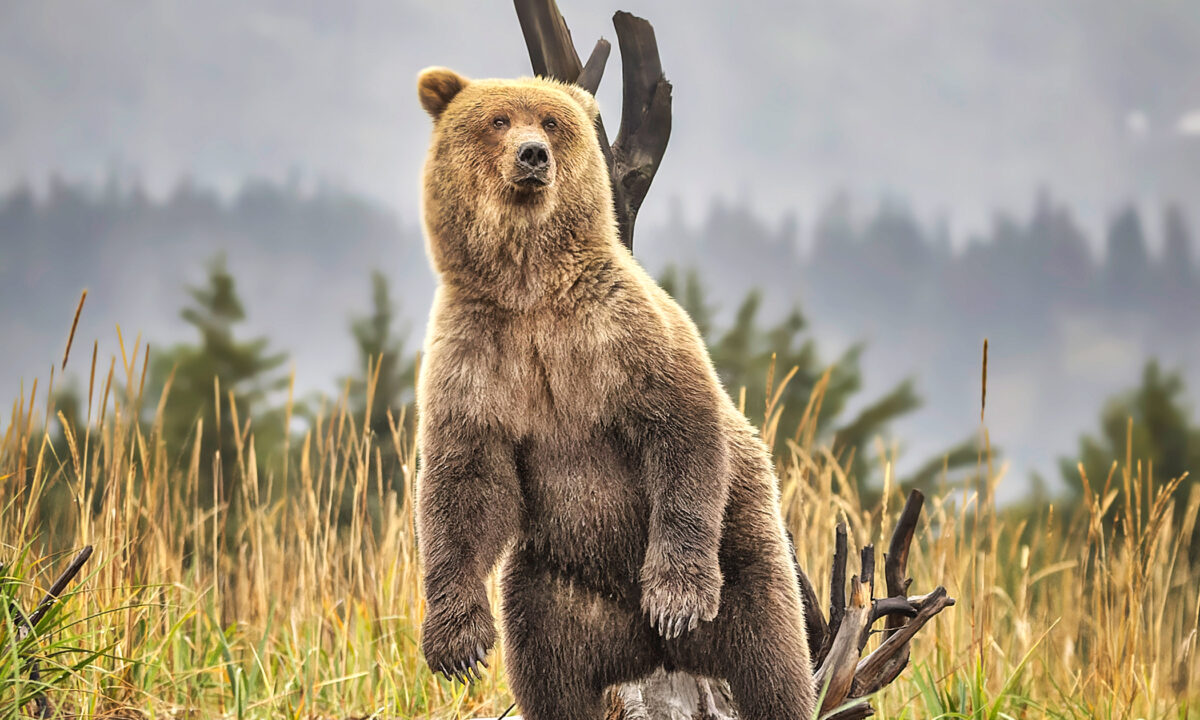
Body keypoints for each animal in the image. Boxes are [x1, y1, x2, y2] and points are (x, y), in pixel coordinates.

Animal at [413, 66, 817, 720]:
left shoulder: (621, 333)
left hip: (746, 565)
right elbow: (465, 482)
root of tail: (653, 657)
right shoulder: (477, 358)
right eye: (499, 119)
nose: (533, 155)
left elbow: (681, 431)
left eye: (551, 121)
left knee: (771, 664)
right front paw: (457, 643)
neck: (529, 289)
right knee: (551, 680)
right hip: (555, 594)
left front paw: (675, 599)